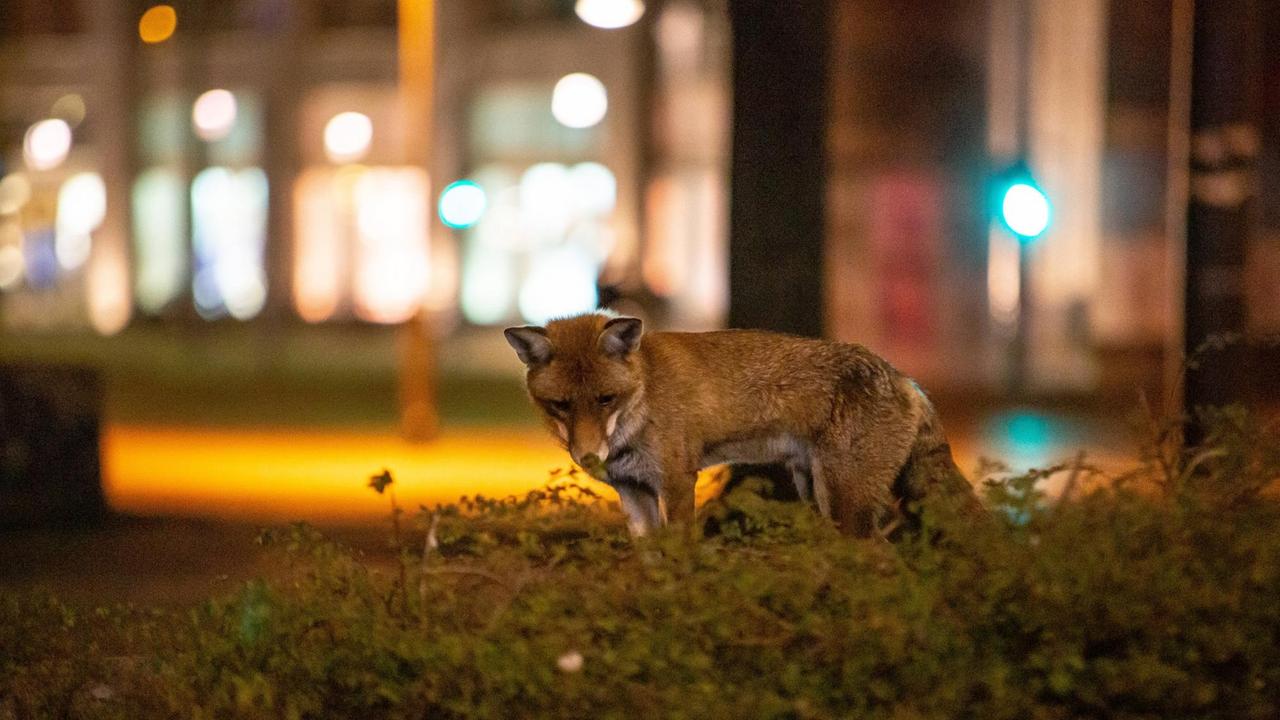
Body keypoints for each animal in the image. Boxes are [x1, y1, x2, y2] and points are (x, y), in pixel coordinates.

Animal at [504, 312, 974, 537]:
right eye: (561, 405)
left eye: (605, 399)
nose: (588, 458)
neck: (644, 396)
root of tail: (906, 378)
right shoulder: (633, 491)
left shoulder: (677, 482)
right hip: (815, 493)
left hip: (845, 506)